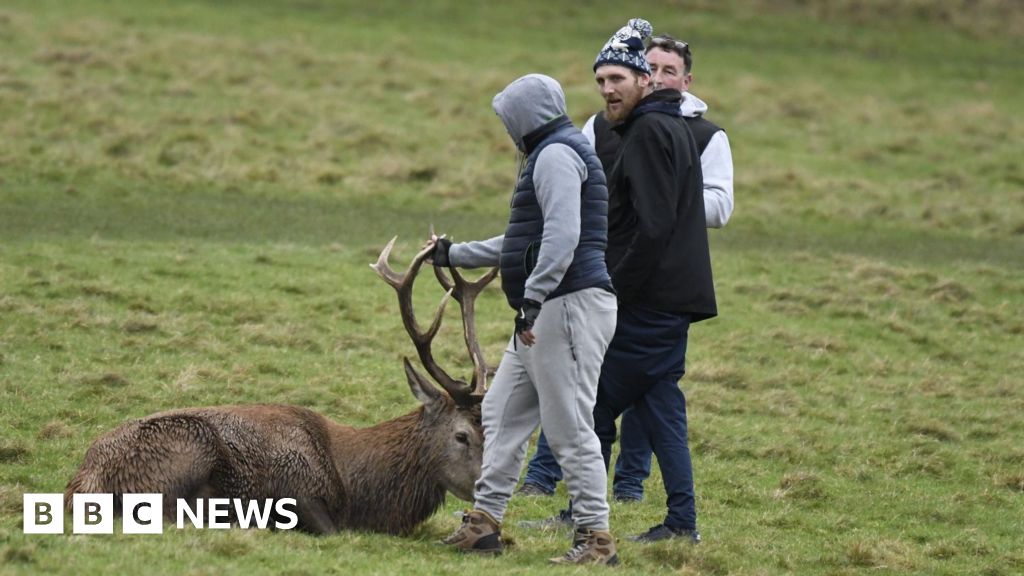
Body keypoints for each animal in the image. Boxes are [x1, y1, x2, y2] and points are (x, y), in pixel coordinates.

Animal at [64, 238, 498, 535]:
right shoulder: (296, 489)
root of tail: (82, 482)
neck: (358, 488)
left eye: (488, 431)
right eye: (461, 435)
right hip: (187, 444)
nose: (484, 490)